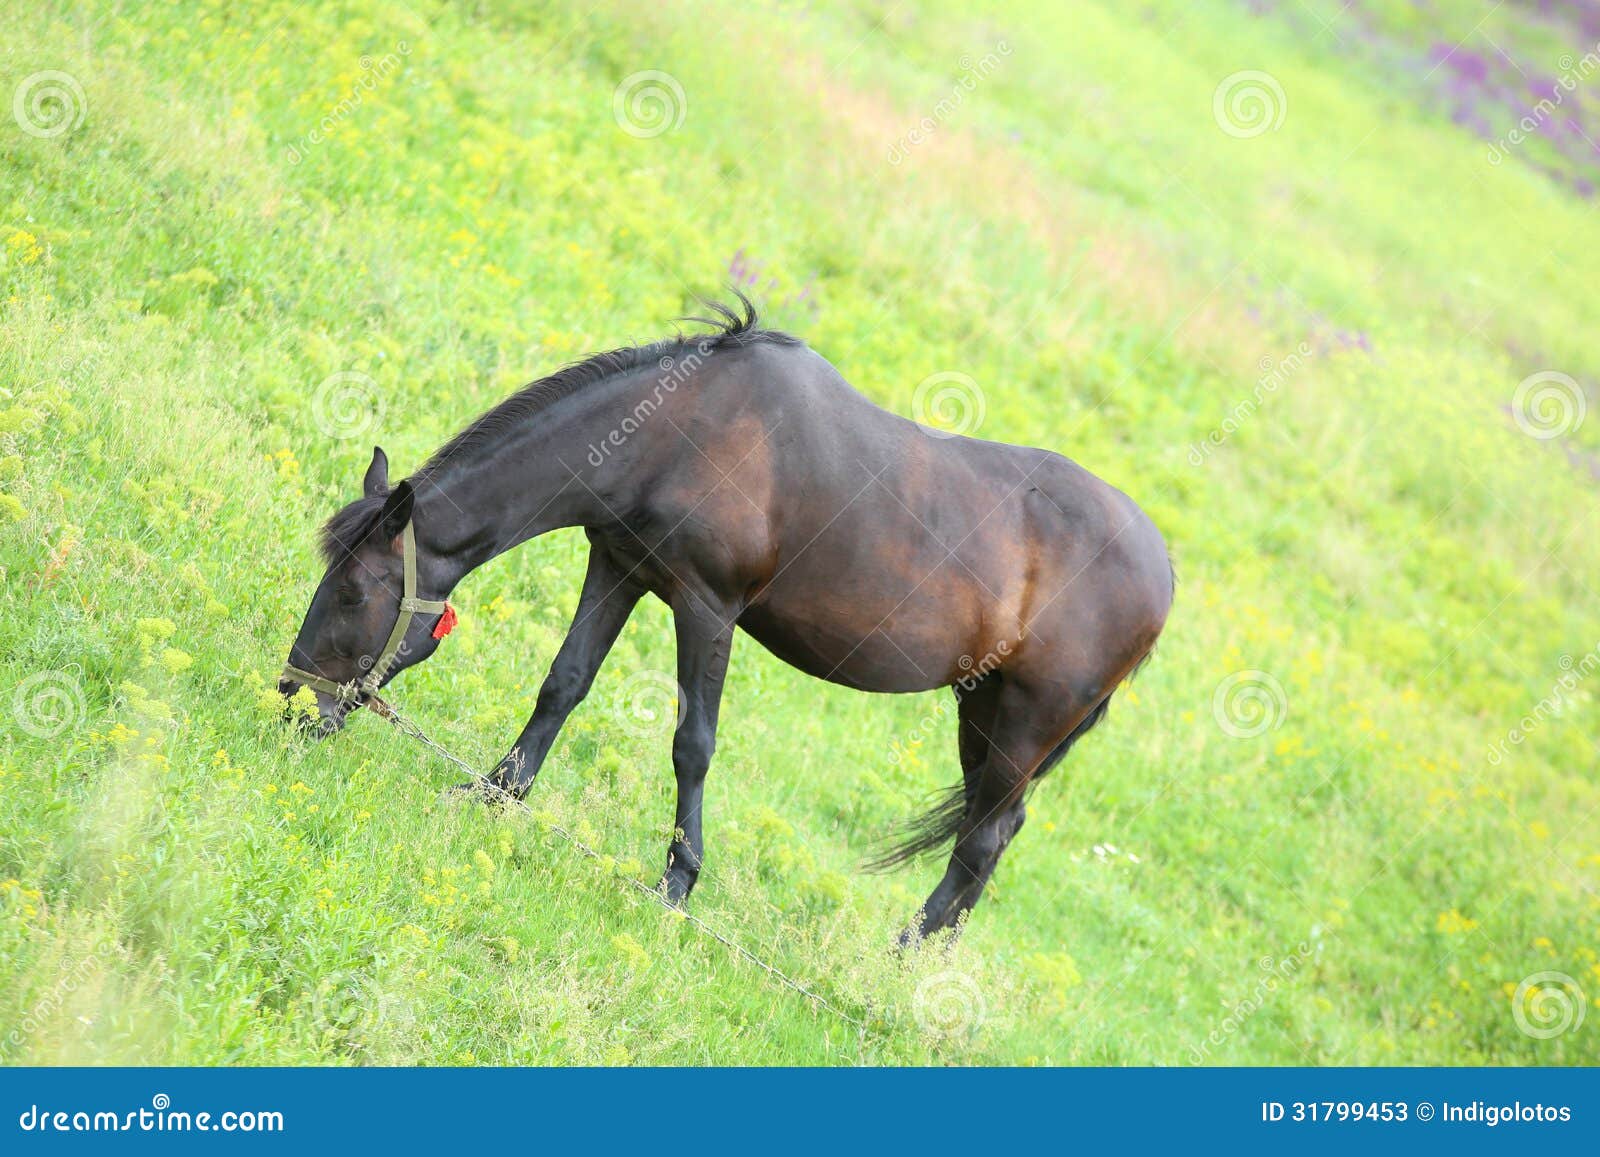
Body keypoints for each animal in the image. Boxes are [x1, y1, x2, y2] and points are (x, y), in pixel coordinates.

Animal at [280, 296, 1174, 941]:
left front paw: (676, 885)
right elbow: (563, 685)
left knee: (981, 842)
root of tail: (1162, 574)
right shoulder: (617, 568)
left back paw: (903, 958)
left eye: (354, 592)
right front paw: (491, 795)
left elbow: (692, 745)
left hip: (1026, 720)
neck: (677, 432)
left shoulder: (707, 608)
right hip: (983, 708)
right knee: (994, 834)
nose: (292, 699)